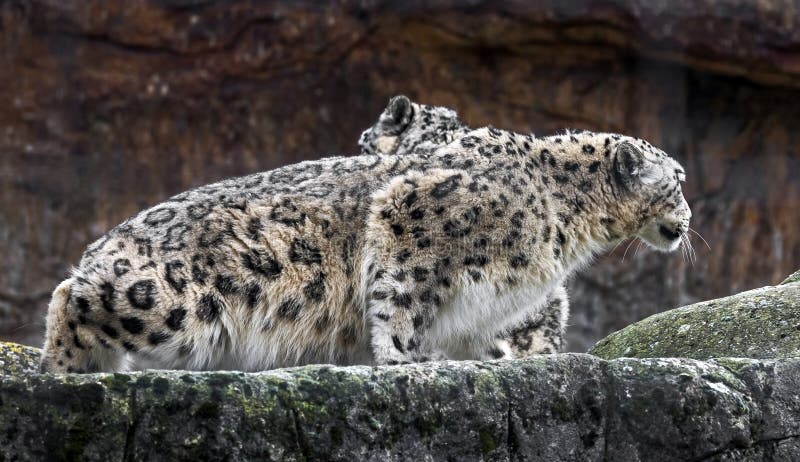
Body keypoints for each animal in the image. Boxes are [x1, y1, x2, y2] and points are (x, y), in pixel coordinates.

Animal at [40, 111, 690, 372]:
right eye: (679, 178)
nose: (689, 214)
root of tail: (107, 240)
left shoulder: (495, 306)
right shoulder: (413, 219)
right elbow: (401, 299)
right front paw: (407, 360)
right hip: (179, 305)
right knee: (72, 294)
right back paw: (64, 368)